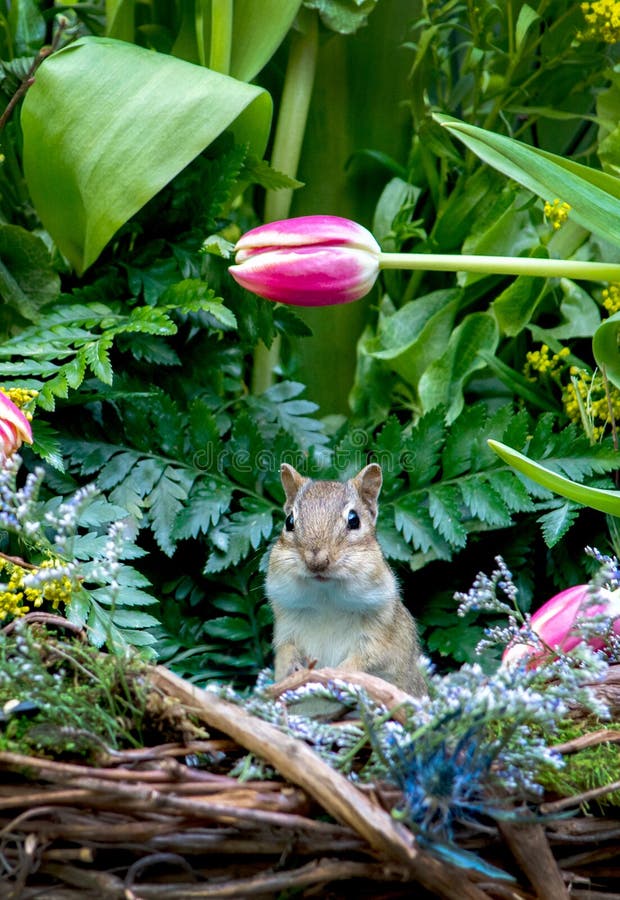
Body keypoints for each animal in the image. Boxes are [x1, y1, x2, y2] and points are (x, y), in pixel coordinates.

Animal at [266, 462, 426, 702]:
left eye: (354, 520)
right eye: (289, 521)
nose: (317, 561)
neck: (326, 601)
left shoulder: (381, 634)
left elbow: (366, 660)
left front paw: (337, 674)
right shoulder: (285, 628)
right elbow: (285, 651)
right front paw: (292, 669)